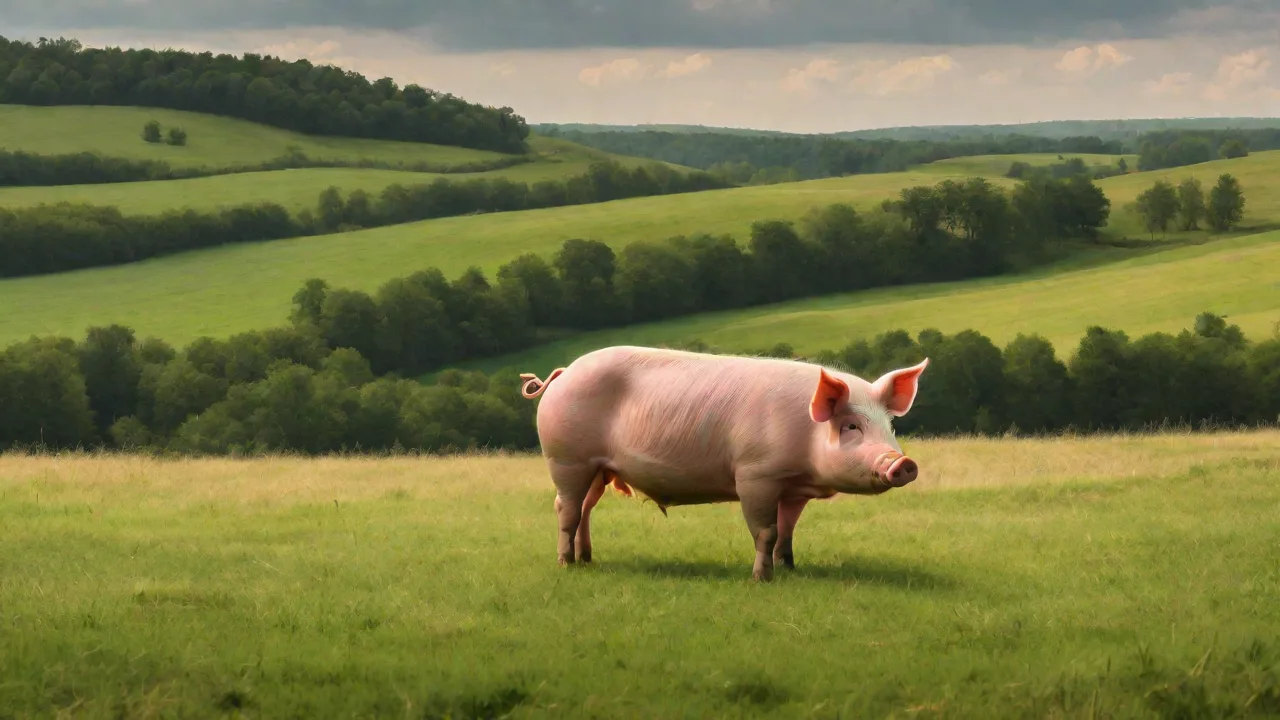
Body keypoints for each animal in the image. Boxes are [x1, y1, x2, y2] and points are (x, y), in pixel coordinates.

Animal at [519, 345, 929, 582]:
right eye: (851, 426)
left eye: (889, 425)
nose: (903, 463)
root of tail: (564, 372)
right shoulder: (755, 474)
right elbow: (766, 531)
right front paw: (762, 580)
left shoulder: (794, 489)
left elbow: (788, 530)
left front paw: (791, 569)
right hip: (566, 458)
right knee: (566, 507)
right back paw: (566, 565)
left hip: (598, 469)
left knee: (585, 508)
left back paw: (586, 560)